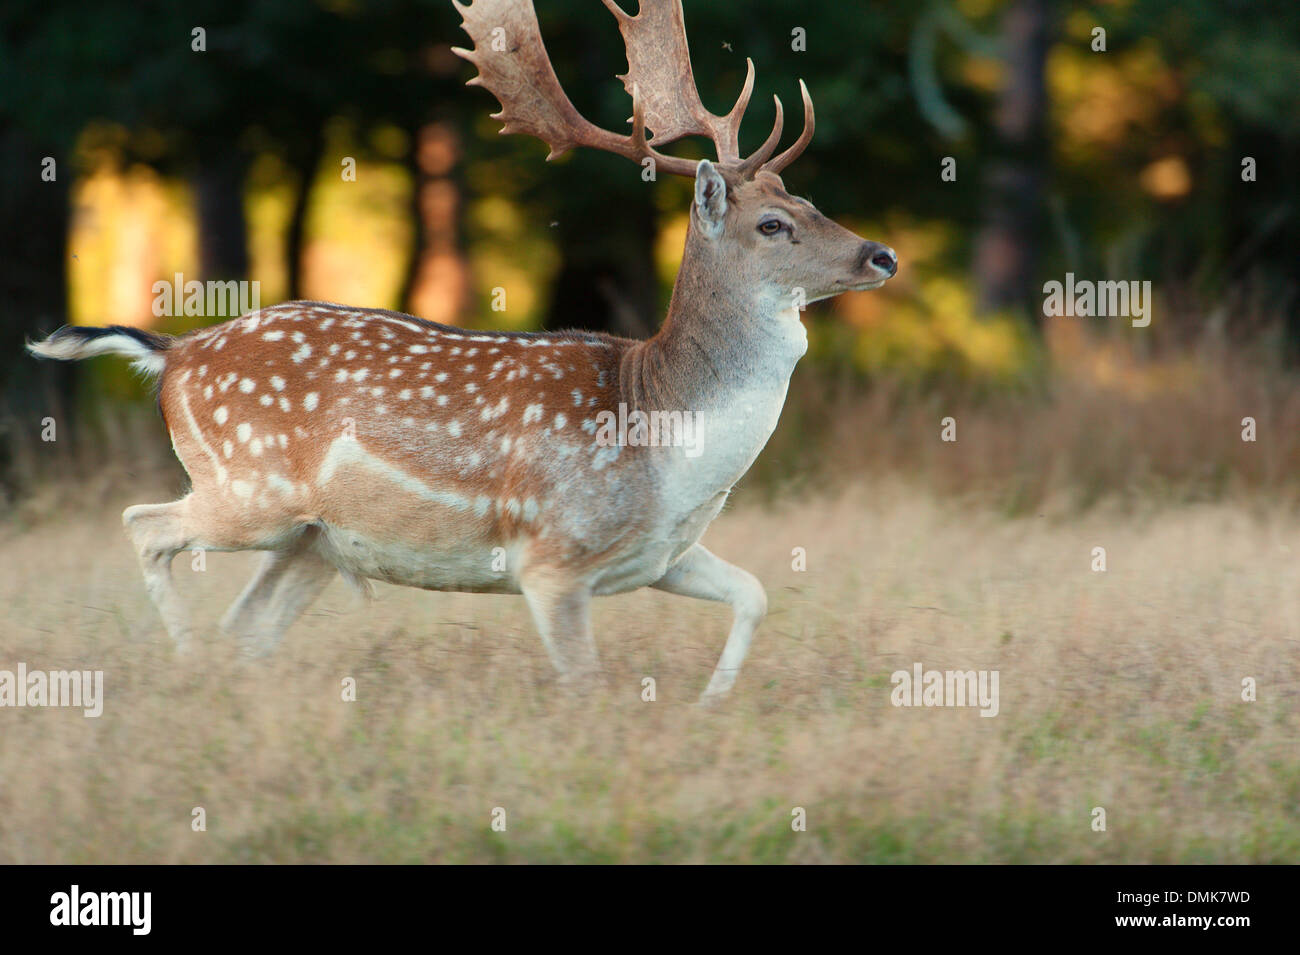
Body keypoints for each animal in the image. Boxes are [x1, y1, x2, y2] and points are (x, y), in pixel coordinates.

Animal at [27, 0, 896, 701]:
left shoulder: (661, 554)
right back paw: (183, 661)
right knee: (145, 523)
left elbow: (754, 593)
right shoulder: (551, 556)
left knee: (244, 625)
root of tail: (173, 353)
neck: (665, 440)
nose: (882, 255)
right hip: (250, 489)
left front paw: (711, 703)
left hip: (310, 539)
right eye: (773, 225)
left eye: (809, 201)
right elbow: (587, 687)